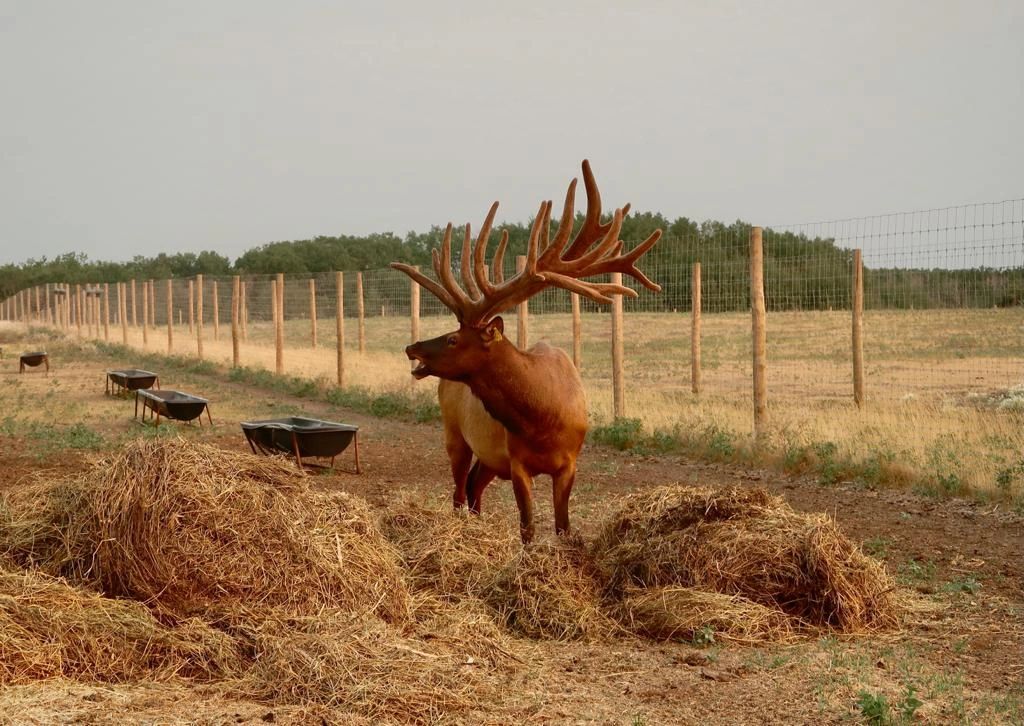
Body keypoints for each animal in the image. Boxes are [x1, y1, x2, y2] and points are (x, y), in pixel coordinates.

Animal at [391, 160, 662, 543]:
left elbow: (562, 525)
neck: (542, 418)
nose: (411, 347)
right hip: (454, 435)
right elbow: (528, 527)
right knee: (458, 492)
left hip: (486, 457)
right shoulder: (517, 461)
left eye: (453, 339)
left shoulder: (569, 462)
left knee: (472, 488)